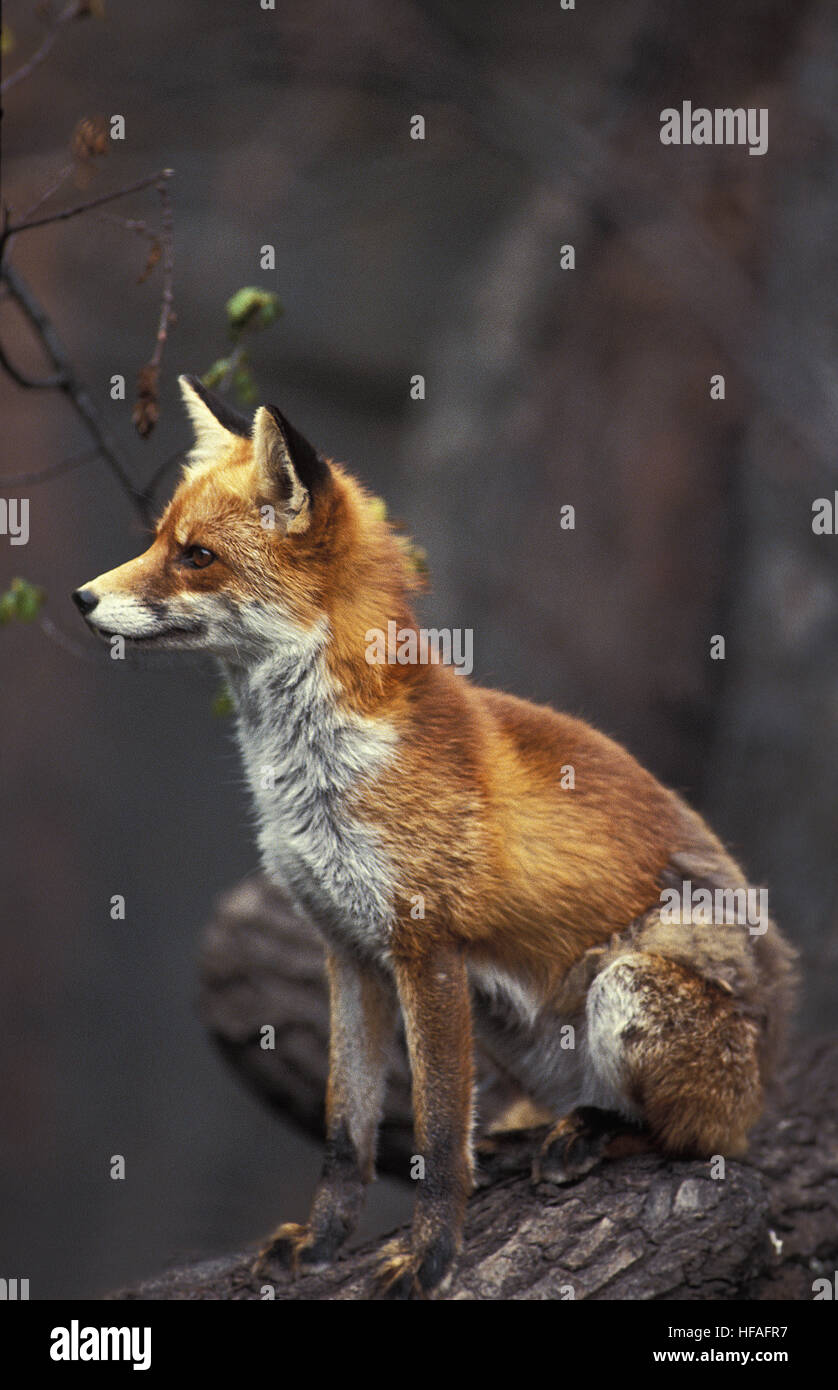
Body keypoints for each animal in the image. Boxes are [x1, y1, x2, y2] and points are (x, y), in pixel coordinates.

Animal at [73, 375, 797, 1299]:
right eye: (161, 538)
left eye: (196, 556)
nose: (81, 598)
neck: (319, 770)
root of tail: (774, 1052)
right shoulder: (347, 950)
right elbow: (345, 1134)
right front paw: (323, 1244)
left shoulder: (429, 950)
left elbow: (438, 1137)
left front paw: (431, 1257)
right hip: (513, 1024)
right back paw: (539, 1133)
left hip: (629, 988)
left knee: (704, 1143)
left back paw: (596, 1135)